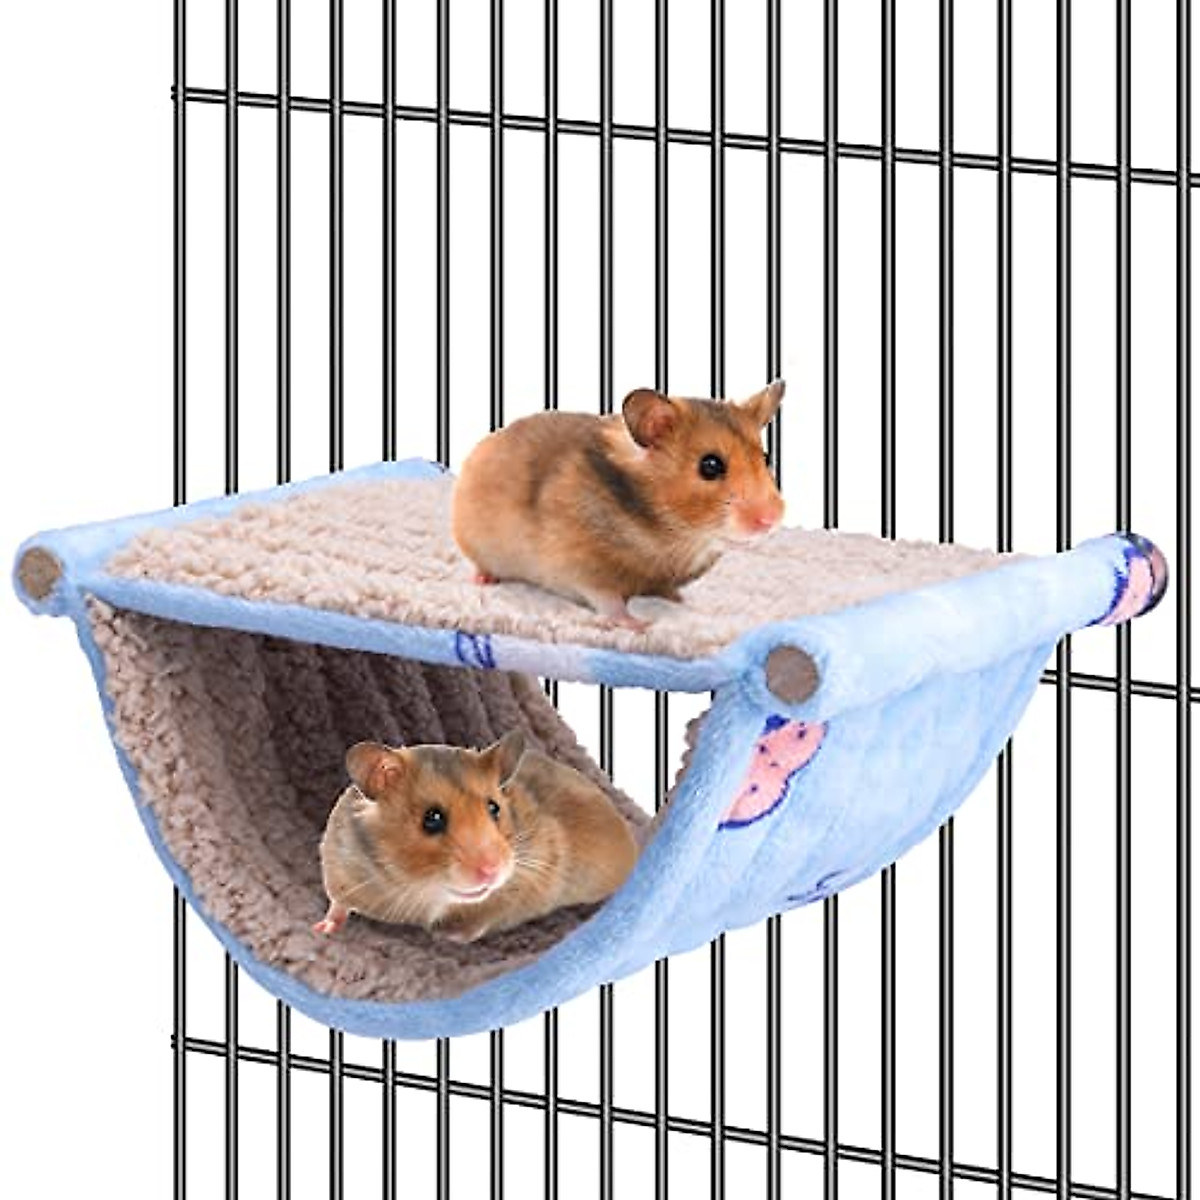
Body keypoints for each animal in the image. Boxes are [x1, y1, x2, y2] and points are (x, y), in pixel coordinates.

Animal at [314, 731, 640, 943]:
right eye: (432, 819)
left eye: (494, 808)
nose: (492, 871)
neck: (421, 889)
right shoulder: (338, 867)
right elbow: (337, 904)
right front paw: (321, 929)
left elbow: (485, 917)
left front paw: (448, 935)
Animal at [451, 380, 786, 629]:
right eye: (710, 466)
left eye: (765, 457)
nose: (771, 519)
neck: (671, 532)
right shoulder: (577, 565)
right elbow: (607, 599)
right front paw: (639, 626)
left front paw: (682, 603)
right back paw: (484, 579)